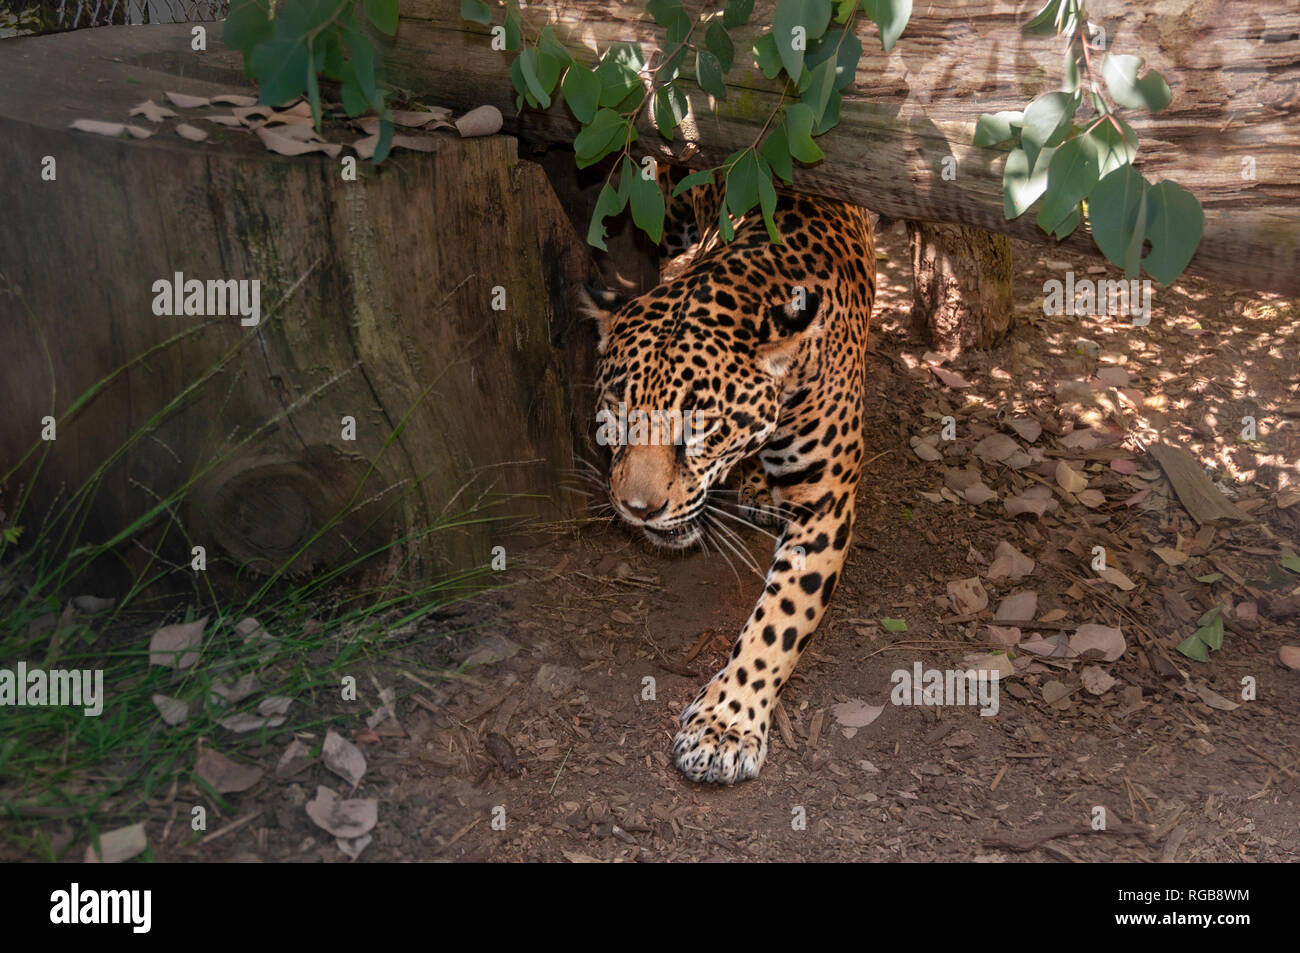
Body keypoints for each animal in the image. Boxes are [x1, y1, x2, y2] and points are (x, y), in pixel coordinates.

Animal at [578, 165, 876, 784]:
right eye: (615, 411)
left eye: (700, 427)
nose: (637, 511)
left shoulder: (825, 502)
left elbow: (781, 618)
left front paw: (726, 724)